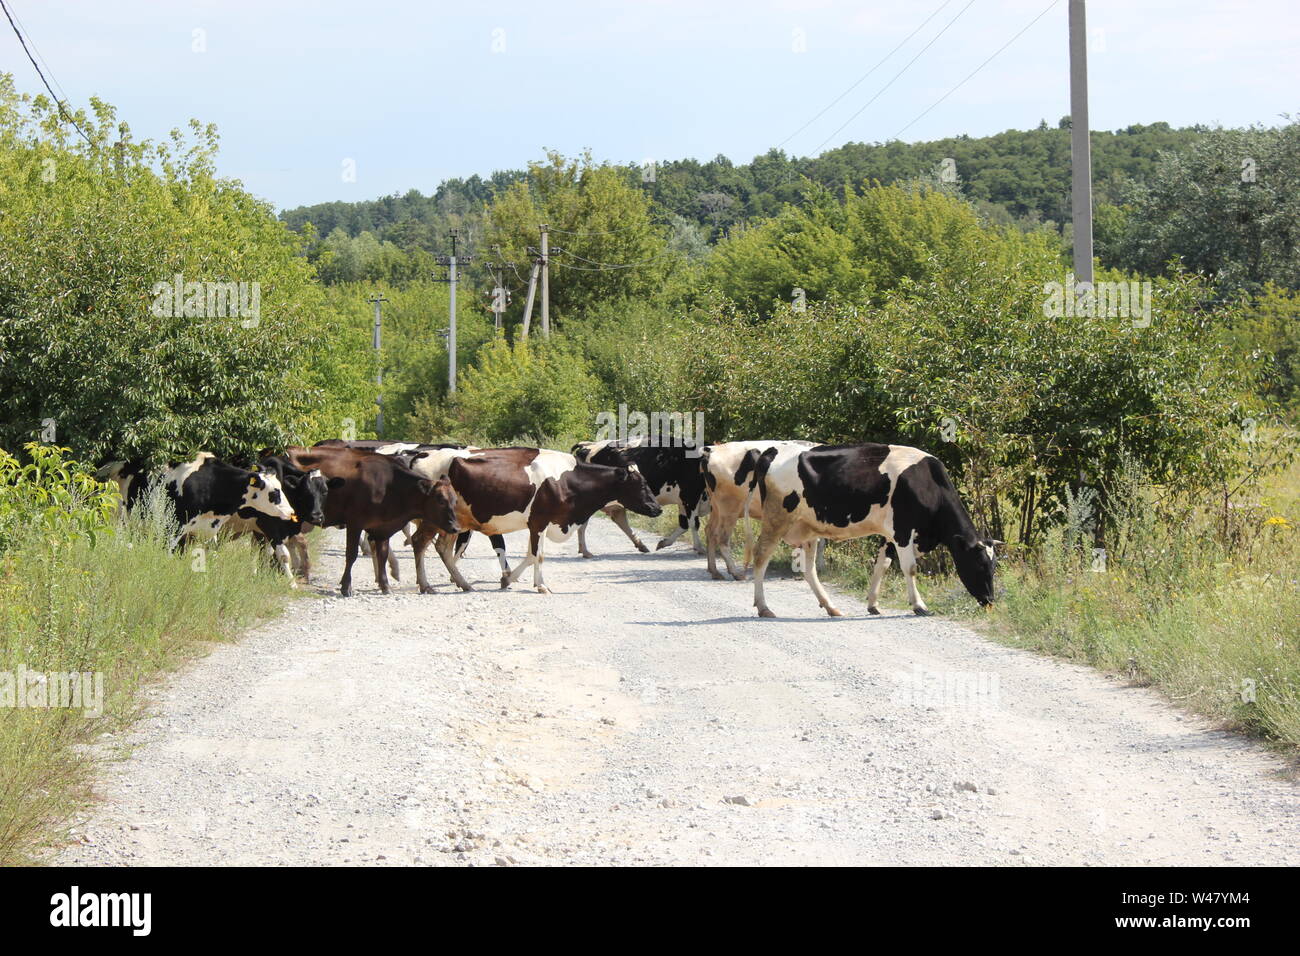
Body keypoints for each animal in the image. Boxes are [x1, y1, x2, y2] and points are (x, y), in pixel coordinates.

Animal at [284, 445, 461, 596]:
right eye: (440, 500)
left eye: (454, 501)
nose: (456, 527)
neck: (389, 486)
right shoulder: (355, 523)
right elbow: (351, 554)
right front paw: (346, 587)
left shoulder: (383, 528)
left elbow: (382, 554)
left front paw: (385, 585)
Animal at [412, 448, 662, 594]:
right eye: (640, 485)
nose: (657, 508)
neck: (567, 480)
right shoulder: (540, 521)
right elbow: (537, 555)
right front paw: (540, 585)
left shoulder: (539, 523)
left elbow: (532, 555)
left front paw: (509, 580)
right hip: (437, 518)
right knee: (420, 542)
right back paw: (427, 585)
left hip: (454, 522)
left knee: (439, 547)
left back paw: (461, 584)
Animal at [571, 438, 710, 557]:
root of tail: (589, 444)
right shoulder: (690, 496)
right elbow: (694, 524)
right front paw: (700, 548)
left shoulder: (683, 501)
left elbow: (684, 524)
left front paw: (664, 543)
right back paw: (585, 550)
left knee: (619, 518)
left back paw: (640, 545)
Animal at [698, 440, 819, 581]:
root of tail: (712, 450)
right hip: (729, 507)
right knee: (722, 537)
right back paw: (736, 573)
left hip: (717, 507)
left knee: (710, 531)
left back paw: (715, 571)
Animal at [747, 442, 999, 618]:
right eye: (979, 564)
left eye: (994, 566)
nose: (990, 600)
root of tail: (771, 450)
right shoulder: (903, 531)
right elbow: (910, 568)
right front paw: (919, 605)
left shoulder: (890, 535)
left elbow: (882, 565)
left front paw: (873, 604)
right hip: (777, 518)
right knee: (761, 556)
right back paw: (764, 607)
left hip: (808, 528)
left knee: (809, 570)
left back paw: (831, 608)